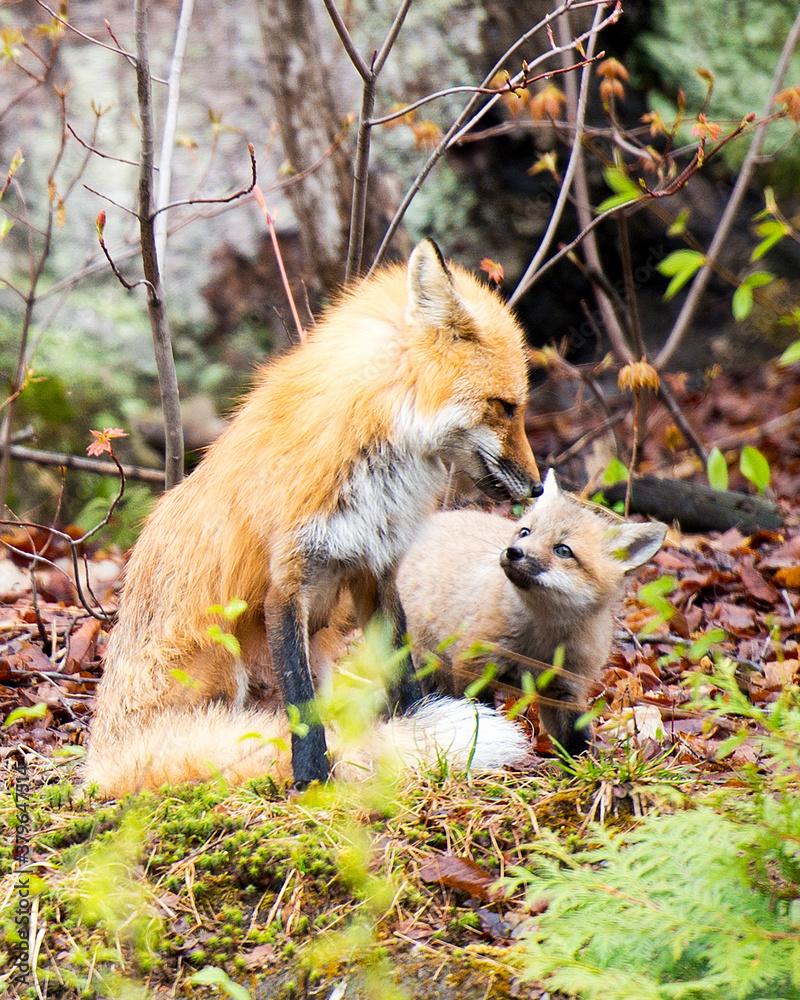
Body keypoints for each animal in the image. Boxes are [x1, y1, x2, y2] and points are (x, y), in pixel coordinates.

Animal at [84, 239, 541, 797]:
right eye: (506, 407)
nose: (538, 487)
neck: (374, 460)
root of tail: (104, 755)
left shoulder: (376, 569)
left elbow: (402, 672)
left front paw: (418, 732)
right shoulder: (287, 582)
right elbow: (301, 707)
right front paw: (313, 778)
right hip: (223, 654)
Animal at [396, 470, 667, 755]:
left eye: (563, 550)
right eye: (525, 532)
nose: (513, 551)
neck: (542, 639)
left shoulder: (566, 687)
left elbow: (575, 737)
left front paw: (582, 764)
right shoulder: (474, 663)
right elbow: (481, 713)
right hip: (425, 661)